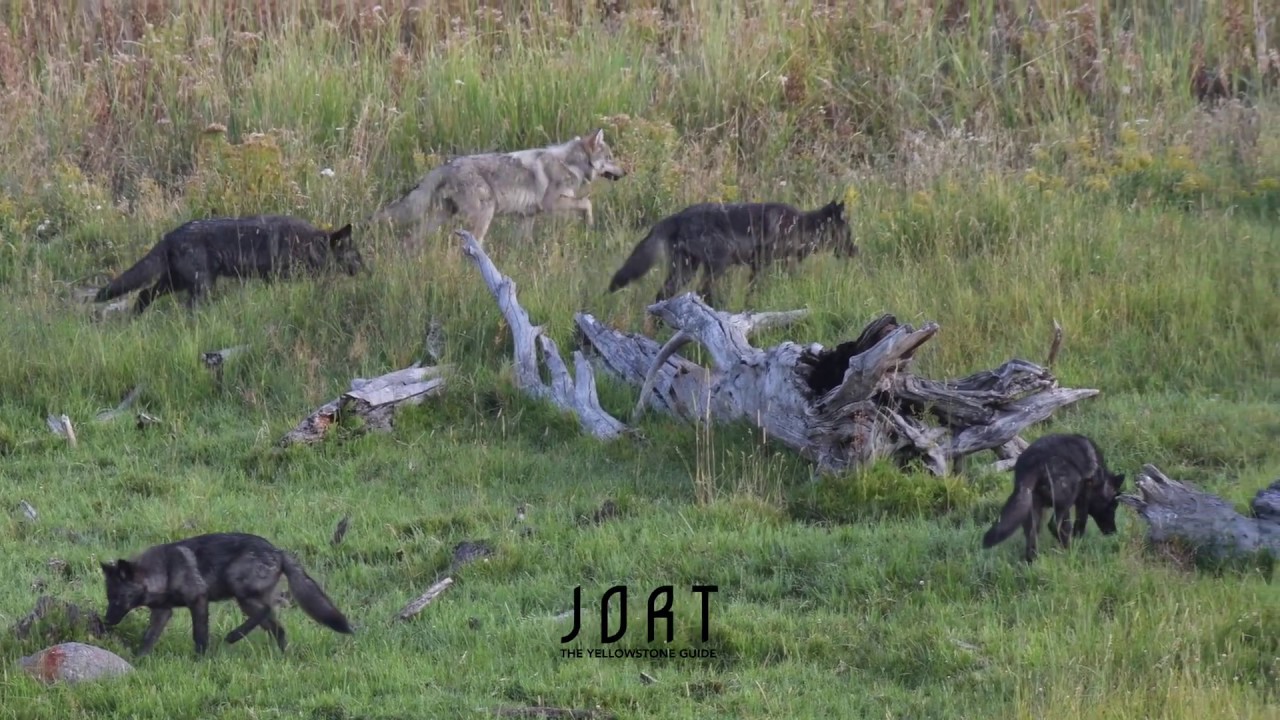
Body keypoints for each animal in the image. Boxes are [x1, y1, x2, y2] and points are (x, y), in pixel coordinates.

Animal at [93, 215, 364, 315]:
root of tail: (169, 236)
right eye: (357, 256)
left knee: (143, 294)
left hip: (175, 283)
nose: (367, 271)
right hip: (199, 287)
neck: (308, 245)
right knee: (187, 308)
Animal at [100, 532, 354, 656]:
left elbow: (199, 635)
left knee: (268, 609)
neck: (165, 570)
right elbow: (148, 638)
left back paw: (233, 636)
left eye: (118, 599)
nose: (106, 621)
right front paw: (139, 661)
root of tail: (278, 551)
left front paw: (201, 660)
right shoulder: (162, 613)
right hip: (247, 601)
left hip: (239, 590)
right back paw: (283, 656)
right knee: (278, 626)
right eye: (109, 598)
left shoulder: (198, 601)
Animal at [366, 128, 627, 248]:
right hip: (485, 213)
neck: (569, 163)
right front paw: (590, 225)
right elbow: (587, 202)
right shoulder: (552, 204)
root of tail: (447, 165)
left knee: (411, 238)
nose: (625, 173)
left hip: (439, 218)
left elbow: (523, 244)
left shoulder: (527, 216)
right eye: (611, 158)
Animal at [606, 199, 857, 307]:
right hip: (716, 266)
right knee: (702, 293)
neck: (800, 227)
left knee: (661, 296)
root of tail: (677, 217)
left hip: (686, 271)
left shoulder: (759, 267)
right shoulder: (767, 266)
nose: (857, 250)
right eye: (849, 232)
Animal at [981, 433, 1126, 563]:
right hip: (1066, 499)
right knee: (1054, 525)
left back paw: (1033, 563)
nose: (1113, 532)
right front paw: (1078, 542)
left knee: (1033, 537)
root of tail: (1035, 461)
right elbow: (1080, 524)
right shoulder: (1083, 499)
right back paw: (1069, 550)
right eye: (1113, 506)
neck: (1100, 479)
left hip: (1032, 511)